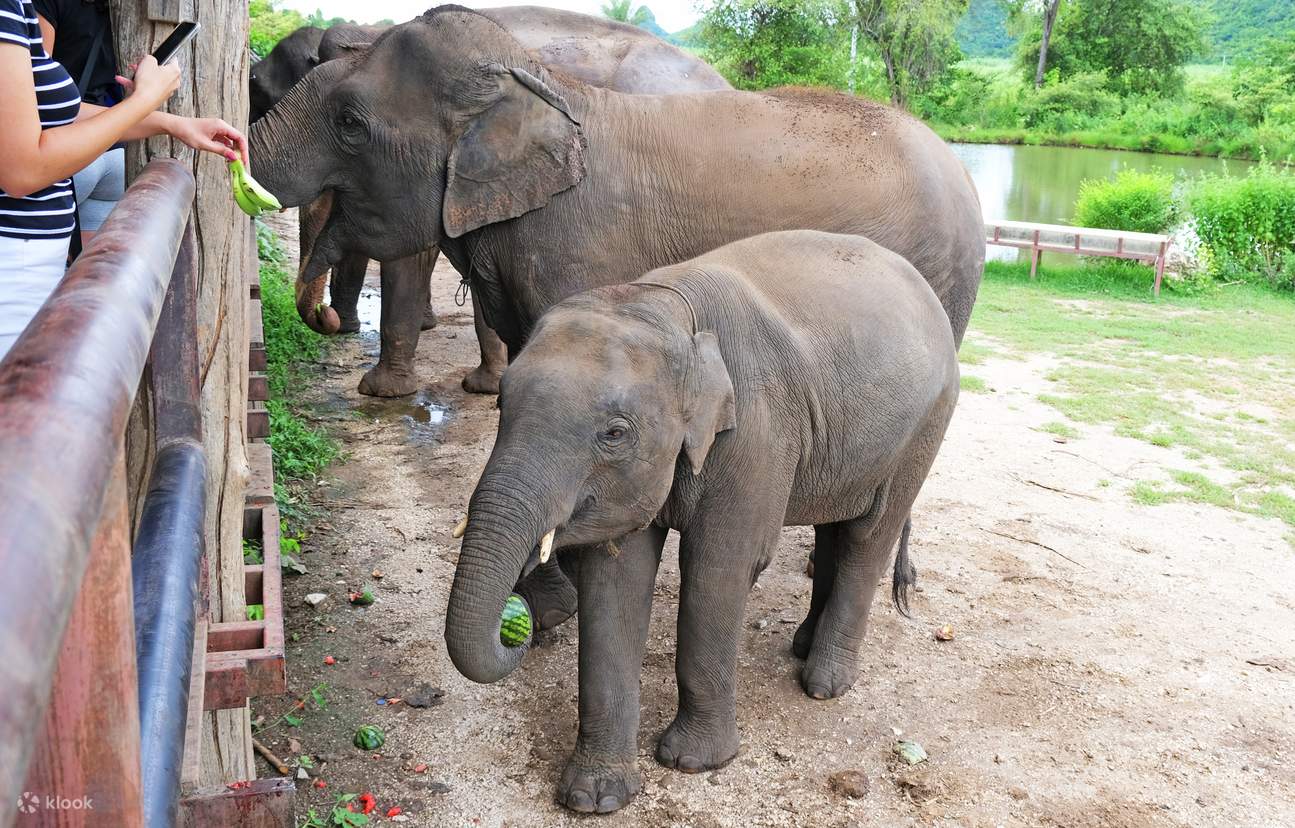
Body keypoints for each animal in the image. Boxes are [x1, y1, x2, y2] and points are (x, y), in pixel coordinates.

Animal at [447, 230, 960, 812]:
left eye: (615, 433)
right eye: (501, 405)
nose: (520, 633)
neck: (670, 312)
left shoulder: (757, 430)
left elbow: (719, 572)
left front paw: (692, 763)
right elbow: (614, 581)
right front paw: (594, 798)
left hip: (928, 422)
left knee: (869, 534)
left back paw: (825, 683)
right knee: (836, 526)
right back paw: (803, 647)